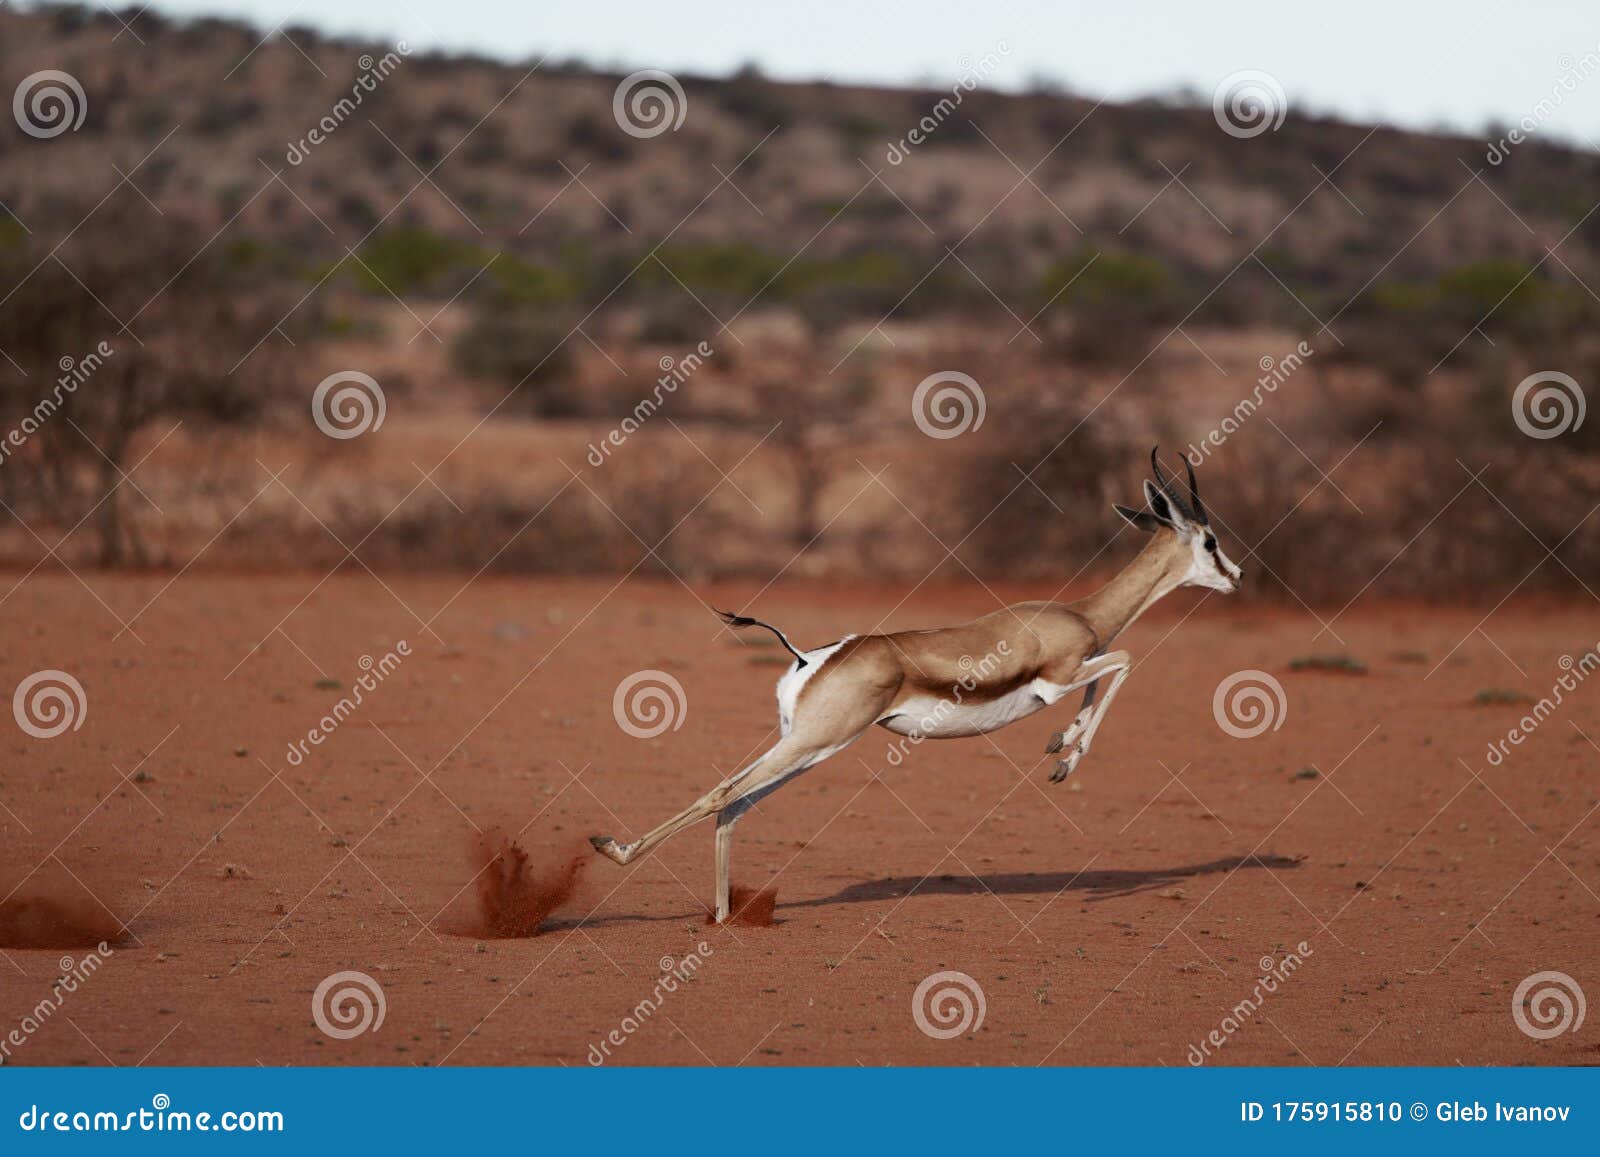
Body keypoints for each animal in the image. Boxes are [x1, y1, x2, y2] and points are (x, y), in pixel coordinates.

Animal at [591, 449, 1242, 922]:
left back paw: (725, 917)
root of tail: (810, 657)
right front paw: (1066, 757)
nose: (1236, 575)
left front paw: (1059, 750)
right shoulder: (1061, 679)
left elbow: (1106, 676)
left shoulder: (1074, 674)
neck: (1084, 613)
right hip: (815, 742)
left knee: (734, 805)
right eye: (1210, 540)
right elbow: (1125, 661)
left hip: (805, 746)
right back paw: (615, 852)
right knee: (721, 794)